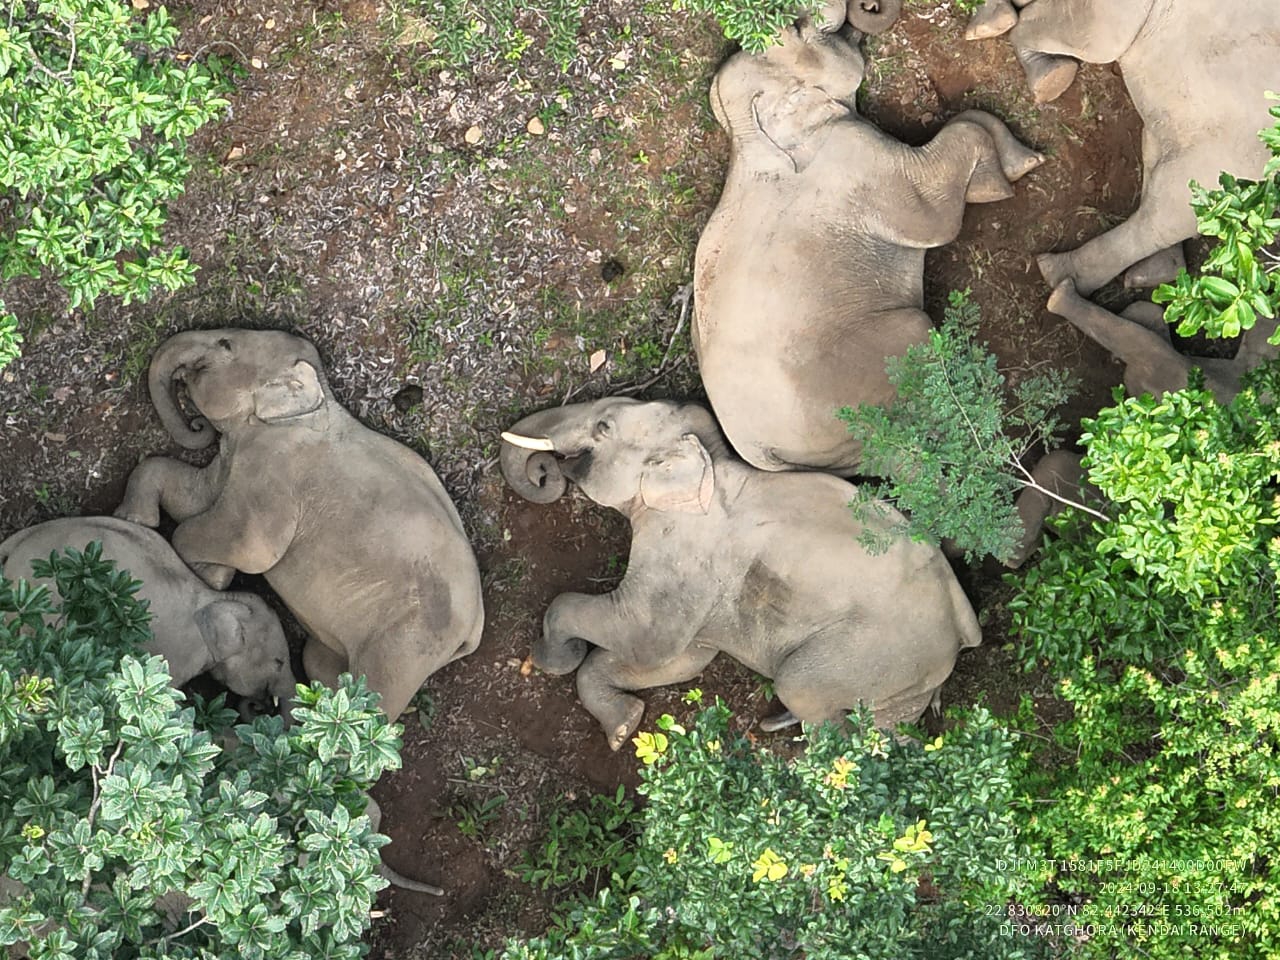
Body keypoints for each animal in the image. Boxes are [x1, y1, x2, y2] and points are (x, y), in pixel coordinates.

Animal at [114, 328, 484, 722]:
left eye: (225, 344)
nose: (197, 423)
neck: (318, 400)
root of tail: (474, 630)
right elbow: (192, 495)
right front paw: (133, 520)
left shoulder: (275, 467)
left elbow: (252, 548)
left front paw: (209, 574)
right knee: (319, 663)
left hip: (406, 644)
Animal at [499, 398, 982, 750]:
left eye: (603, 428)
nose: (545, 471)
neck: (709, 461)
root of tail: (964, 628)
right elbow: (681, 658)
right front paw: (624, 728)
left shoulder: (684, 553)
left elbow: (644, 638)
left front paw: (552, 660)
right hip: (907, 672)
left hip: (869, 651)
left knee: (800, 686)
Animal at [693, 1, 1044, 475]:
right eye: (798, 29)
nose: (866, 10)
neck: (748, 141)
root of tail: (758, 453)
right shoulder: (856, 158)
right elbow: (934, 219)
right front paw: (1001, 185)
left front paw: (1027, 160)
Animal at [966, 0, 1280, 296]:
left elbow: (1093, 34)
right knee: (1156, 161)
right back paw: (1157, 273)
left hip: (1238, 153)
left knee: (1169, 212)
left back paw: (1056, 275)